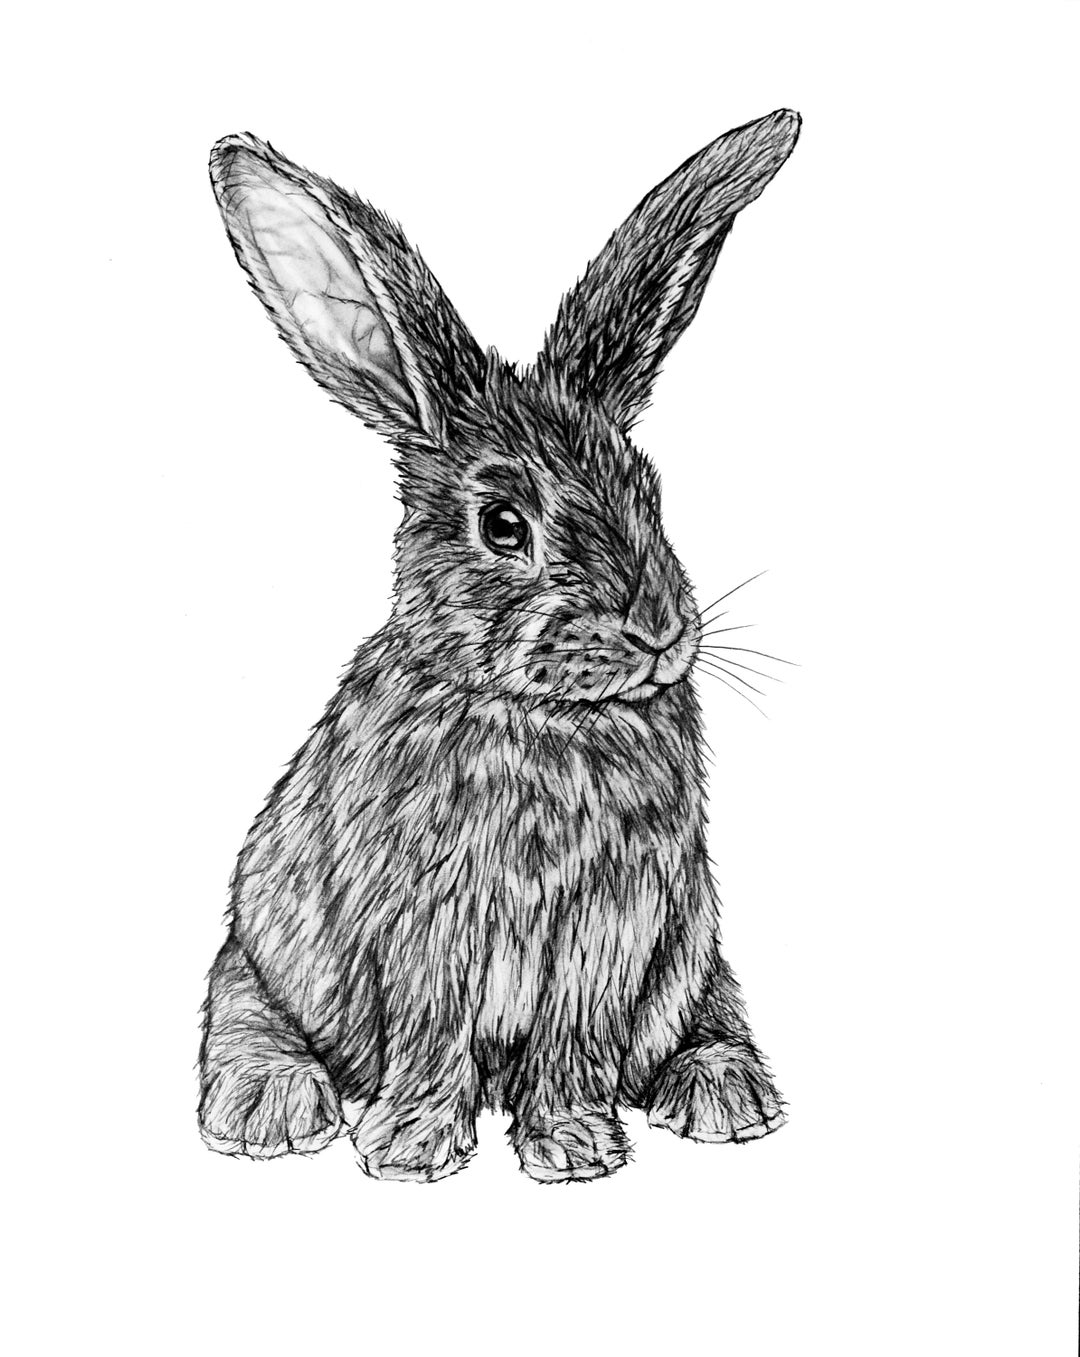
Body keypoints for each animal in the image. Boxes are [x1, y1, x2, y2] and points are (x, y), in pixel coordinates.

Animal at [198, 108, 801, 1183]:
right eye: (503, 524)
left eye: (649, 492)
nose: (660, 633)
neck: (544, 714)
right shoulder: (425, 926)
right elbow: (433, 1032)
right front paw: (412, 1150)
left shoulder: (613, 929)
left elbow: (574, 1038)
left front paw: (570, 1146)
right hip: (256, 950)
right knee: (244, 1012)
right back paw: (268, 1108)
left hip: (695, 954)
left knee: (708, 1011)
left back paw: (727, 1094)